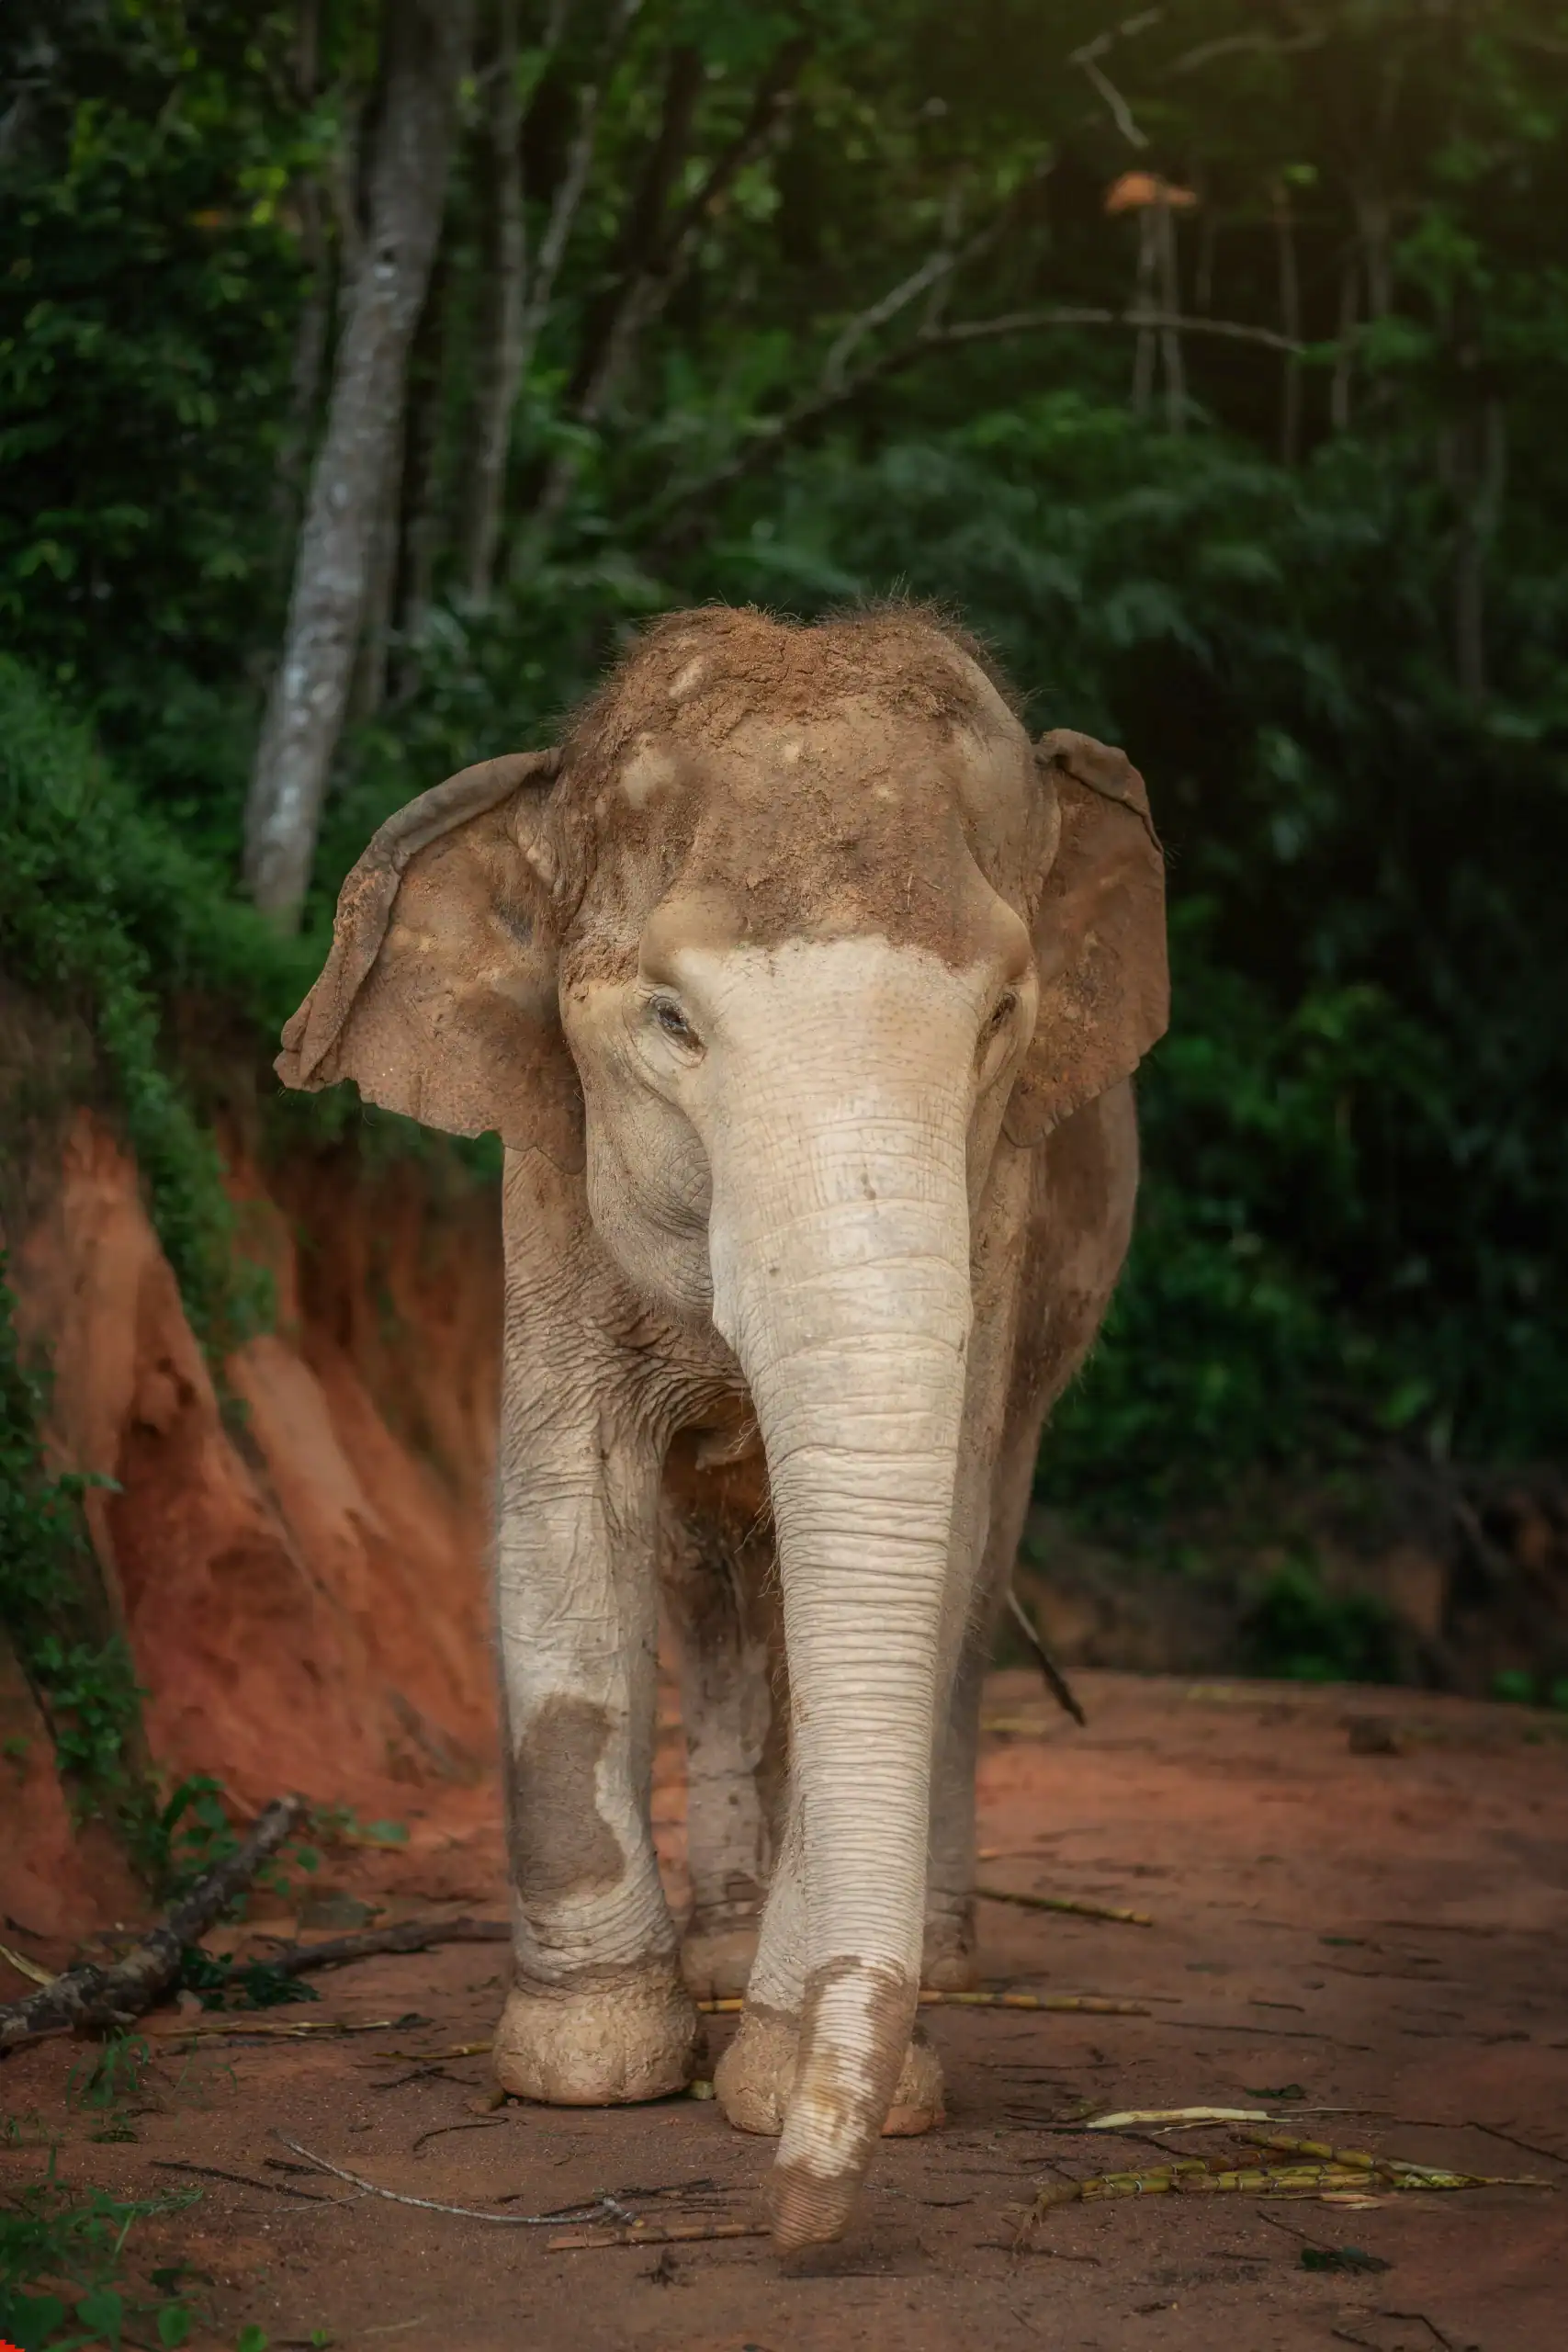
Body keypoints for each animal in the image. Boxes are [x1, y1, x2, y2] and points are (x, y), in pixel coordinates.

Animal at [276, 602, 1168, 2252]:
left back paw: (927, 1956)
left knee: (958, 1584)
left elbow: (928, 1544)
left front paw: (784, 2080)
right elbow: (558, 1509)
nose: (797, 2221)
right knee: (714, 1586)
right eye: (671, 1023)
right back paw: (716, 1949)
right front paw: (589, 2067)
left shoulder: (1005, 1208)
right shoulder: (548, 1169)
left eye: (1001, 1022)